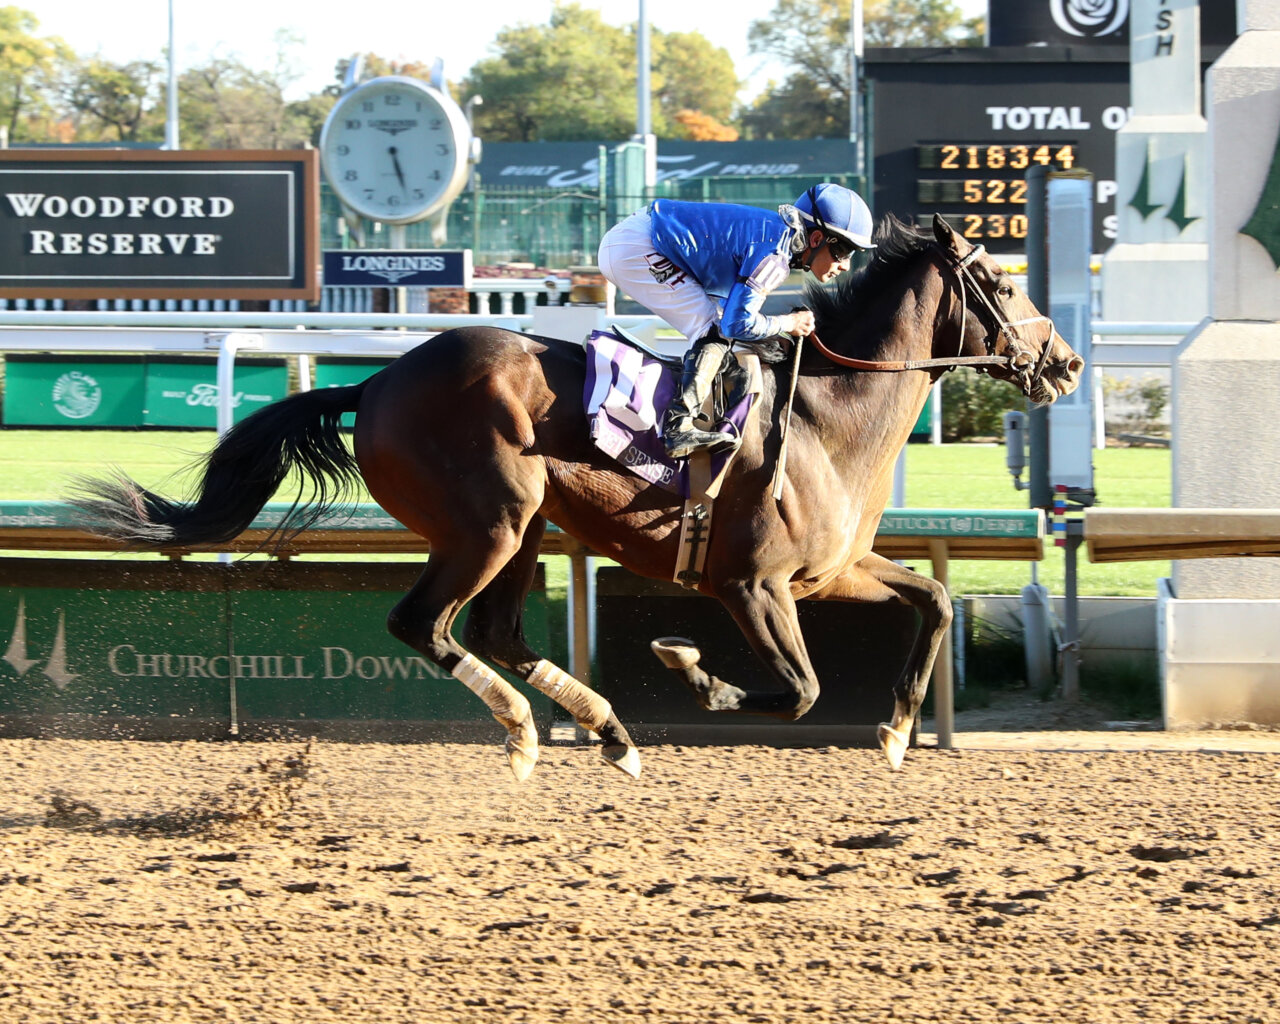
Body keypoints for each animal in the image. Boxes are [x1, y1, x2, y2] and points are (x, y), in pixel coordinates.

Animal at [71, 214, 1083, 781]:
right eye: (1001, 284)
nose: (1068, 362)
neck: (827, 418)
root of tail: (379, 381)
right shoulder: (750, 586)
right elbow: (797, 690)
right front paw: (686, 664)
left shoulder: (827, 572)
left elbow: (937, 598)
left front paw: (898, 731)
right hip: (488, 522)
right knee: (423, 625)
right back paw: (529, 731)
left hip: (522, 529)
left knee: (495, 631)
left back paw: (608, 731)